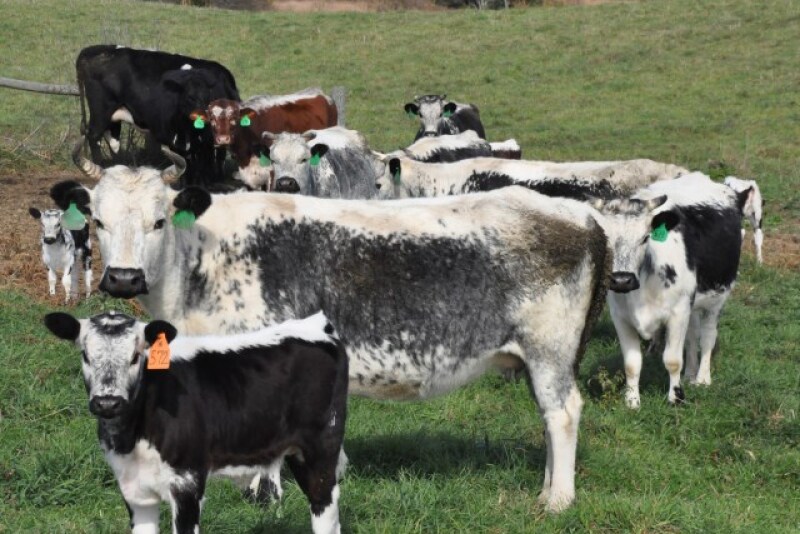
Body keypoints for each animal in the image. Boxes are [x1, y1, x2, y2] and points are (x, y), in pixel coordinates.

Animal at [44, 310, 347, 534]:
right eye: (85, 355)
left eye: (135, 356)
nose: (108, 402)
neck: (131, 438)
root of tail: (318, 325)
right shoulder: (132, 488)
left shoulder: (187, 482)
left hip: (322, 446)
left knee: (326, 511)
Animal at [52, 150, 614, 513]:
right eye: (98, 221)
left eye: (159, 220)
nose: (124, 278)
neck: (200, 258)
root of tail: (579, 214)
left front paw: (264, 492)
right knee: (549, 417)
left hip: (549, 351)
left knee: (563, 413)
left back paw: (558, 500)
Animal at [76, 44, 240, 187]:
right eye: (189, 97)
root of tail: (99, 48)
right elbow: (195, 165)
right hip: (100, 112)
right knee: (93, 137)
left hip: (113, 117)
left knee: (113, 142)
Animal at [589, 173, 751, 408]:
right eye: (606, 239)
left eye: (645, 237)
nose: (621, 280)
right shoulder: (621, 316)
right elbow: (631, 363)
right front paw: (632, 401)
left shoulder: (678, 312)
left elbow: (673, 360)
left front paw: (676, 397)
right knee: (692, 336)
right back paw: (690, 375)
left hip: (717, 299)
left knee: (707, 336)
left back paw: (702, 378)